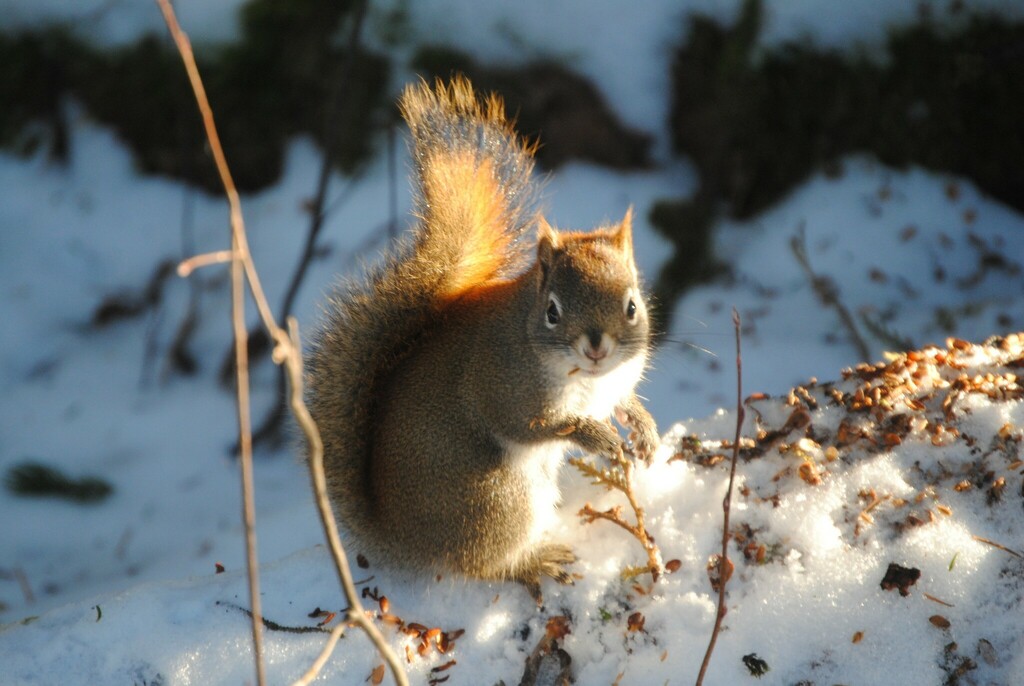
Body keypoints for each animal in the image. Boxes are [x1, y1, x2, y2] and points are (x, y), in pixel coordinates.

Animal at [307, 76, 658, 601]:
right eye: (552, 312)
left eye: (632, 306)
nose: (597, 346)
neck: (586, 378)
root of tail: (401, 536)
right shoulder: (500, 384)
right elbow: (529, 425)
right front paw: (592, 434)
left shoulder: (614, 382)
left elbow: (625, 401)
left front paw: (644, 428)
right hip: (496, 499)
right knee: (481, 564)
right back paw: (534, 561)